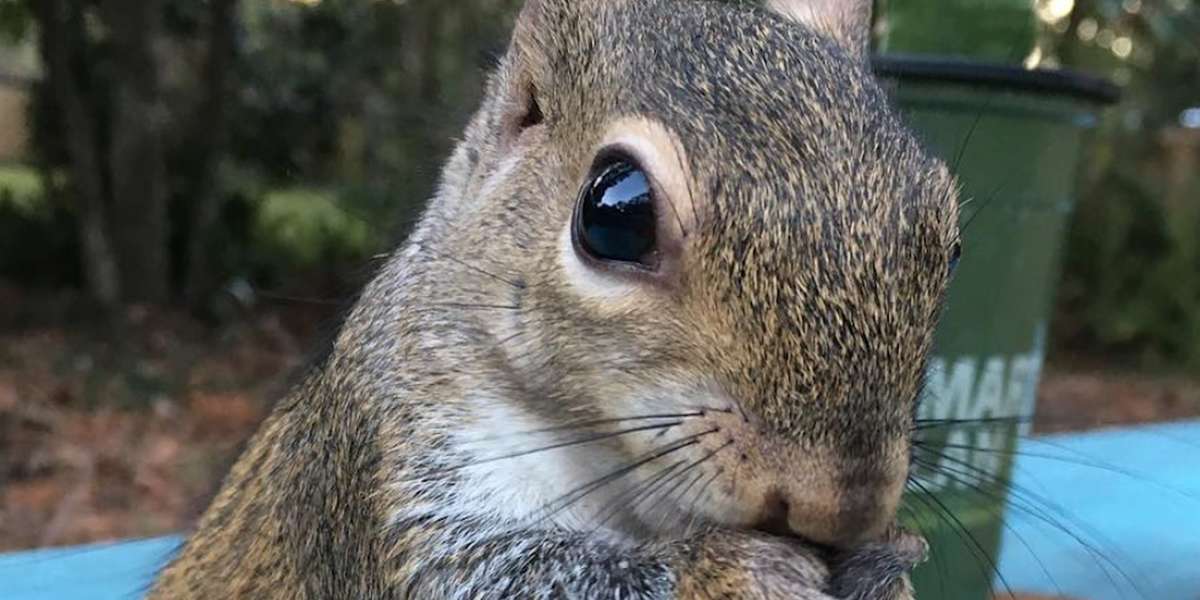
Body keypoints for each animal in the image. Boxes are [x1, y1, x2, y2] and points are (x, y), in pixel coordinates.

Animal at [150, 0, 961, 598]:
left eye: (952, 244)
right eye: (615, 216)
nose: (839, 505)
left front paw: (887, 565)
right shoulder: (387, 468)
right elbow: (497, 575)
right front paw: (741, 568)